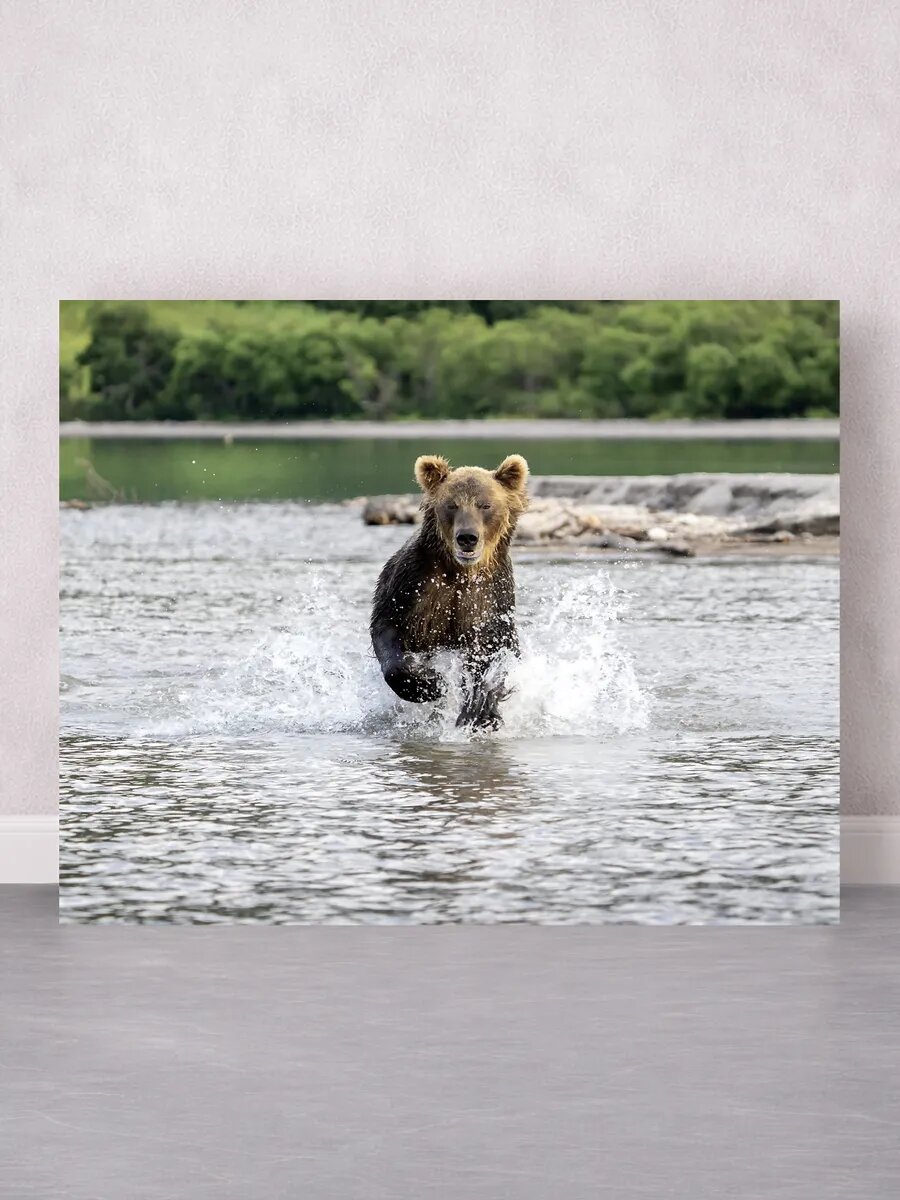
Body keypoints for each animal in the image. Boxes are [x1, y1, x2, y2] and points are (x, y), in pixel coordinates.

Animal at [370, 453, 529, 730]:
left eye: (485, 505)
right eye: (452, 505)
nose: (467, 537)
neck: (460, 571)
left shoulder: (491, 598)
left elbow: (498, 650)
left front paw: (480, 707)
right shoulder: (412, 584)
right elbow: (387, 629)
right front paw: (430, 685)